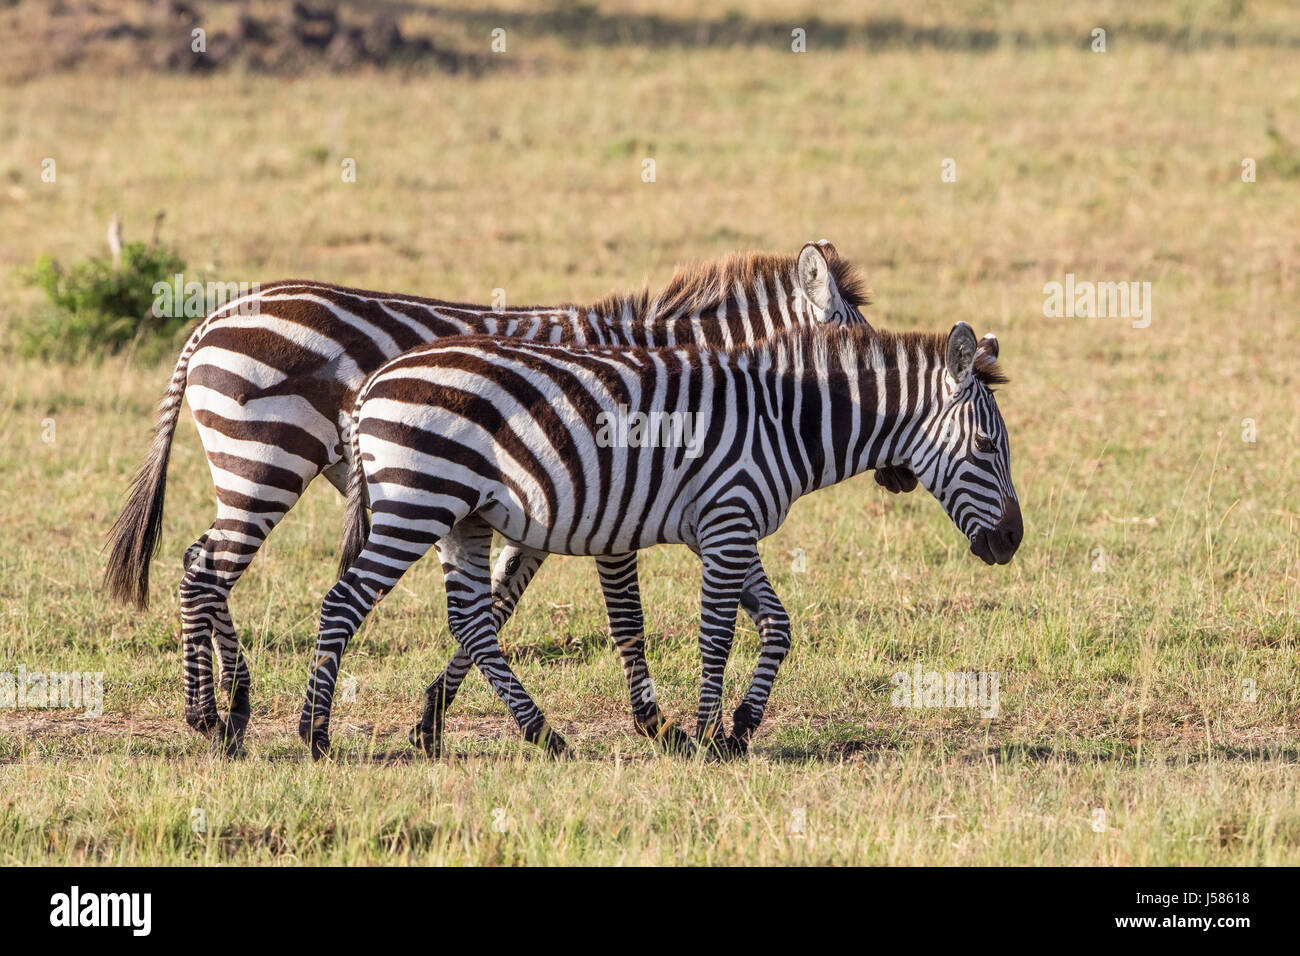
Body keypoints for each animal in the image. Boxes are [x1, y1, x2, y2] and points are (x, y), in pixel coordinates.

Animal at [103, 241, 916, 755]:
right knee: (206, 571)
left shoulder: (541, 503)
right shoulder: (605, 497)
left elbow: (492, 606)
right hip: (266, 461)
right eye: (861, 364)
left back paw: (231, 711)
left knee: (203, 565)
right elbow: (622, 618)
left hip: (255, 470)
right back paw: (210, 715)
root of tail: (212, 319)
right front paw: (653, 725)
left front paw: (432, 717)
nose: (900, 476)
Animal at [298, 319, 1022, 760]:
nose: (1013, 542)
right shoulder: (728, 521)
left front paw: (739, 728)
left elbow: (778, 624)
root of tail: (373, 382)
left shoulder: (725, 530)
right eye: (989, 447)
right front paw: (704, 735)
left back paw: (539, 733)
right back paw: (315, 734)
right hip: (416, 503)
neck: (785, 421)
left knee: (471, 622)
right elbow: (717, 635)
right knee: (343, 604)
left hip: (460, 519)